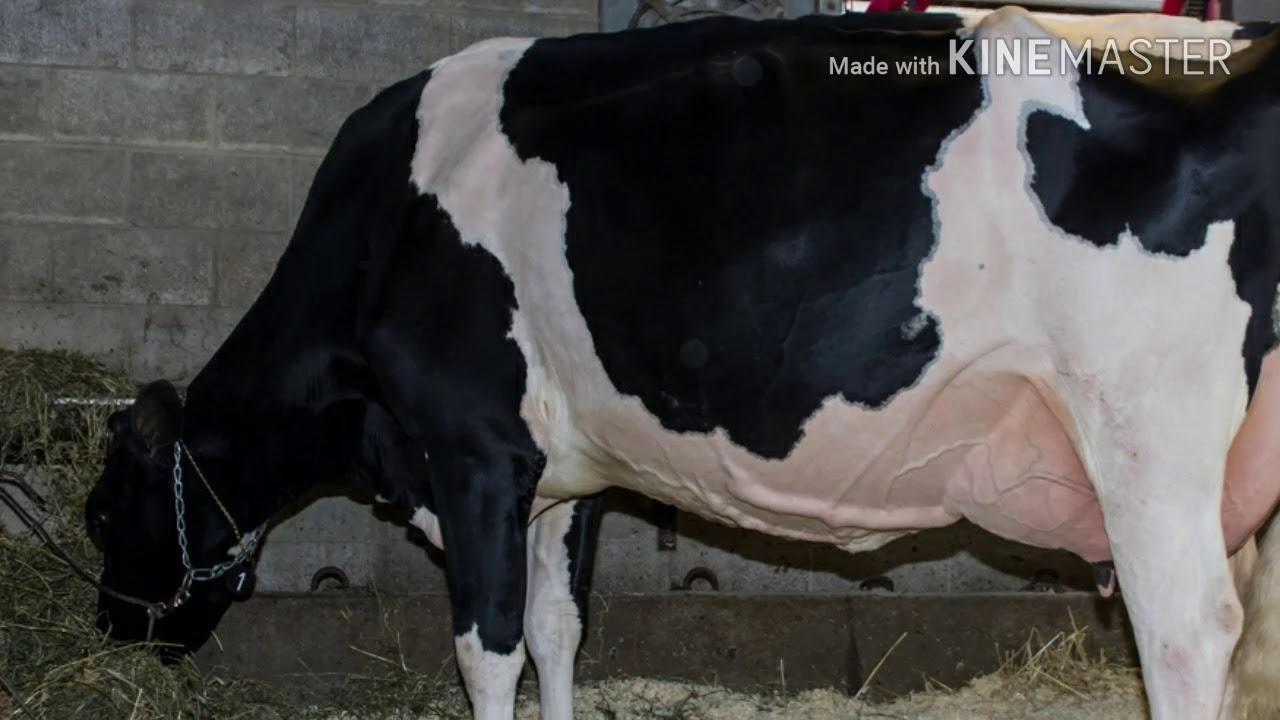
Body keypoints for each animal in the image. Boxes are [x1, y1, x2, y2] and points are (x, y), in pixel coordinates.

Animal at [82, 6, 1280, 720]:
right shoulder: (561, 472)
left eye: (100, 514)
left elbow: (488, 645)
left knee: (1187, 635)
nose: (110, 627)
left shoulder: (471, 451)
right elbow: (558, 630)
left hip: (1147, 437)